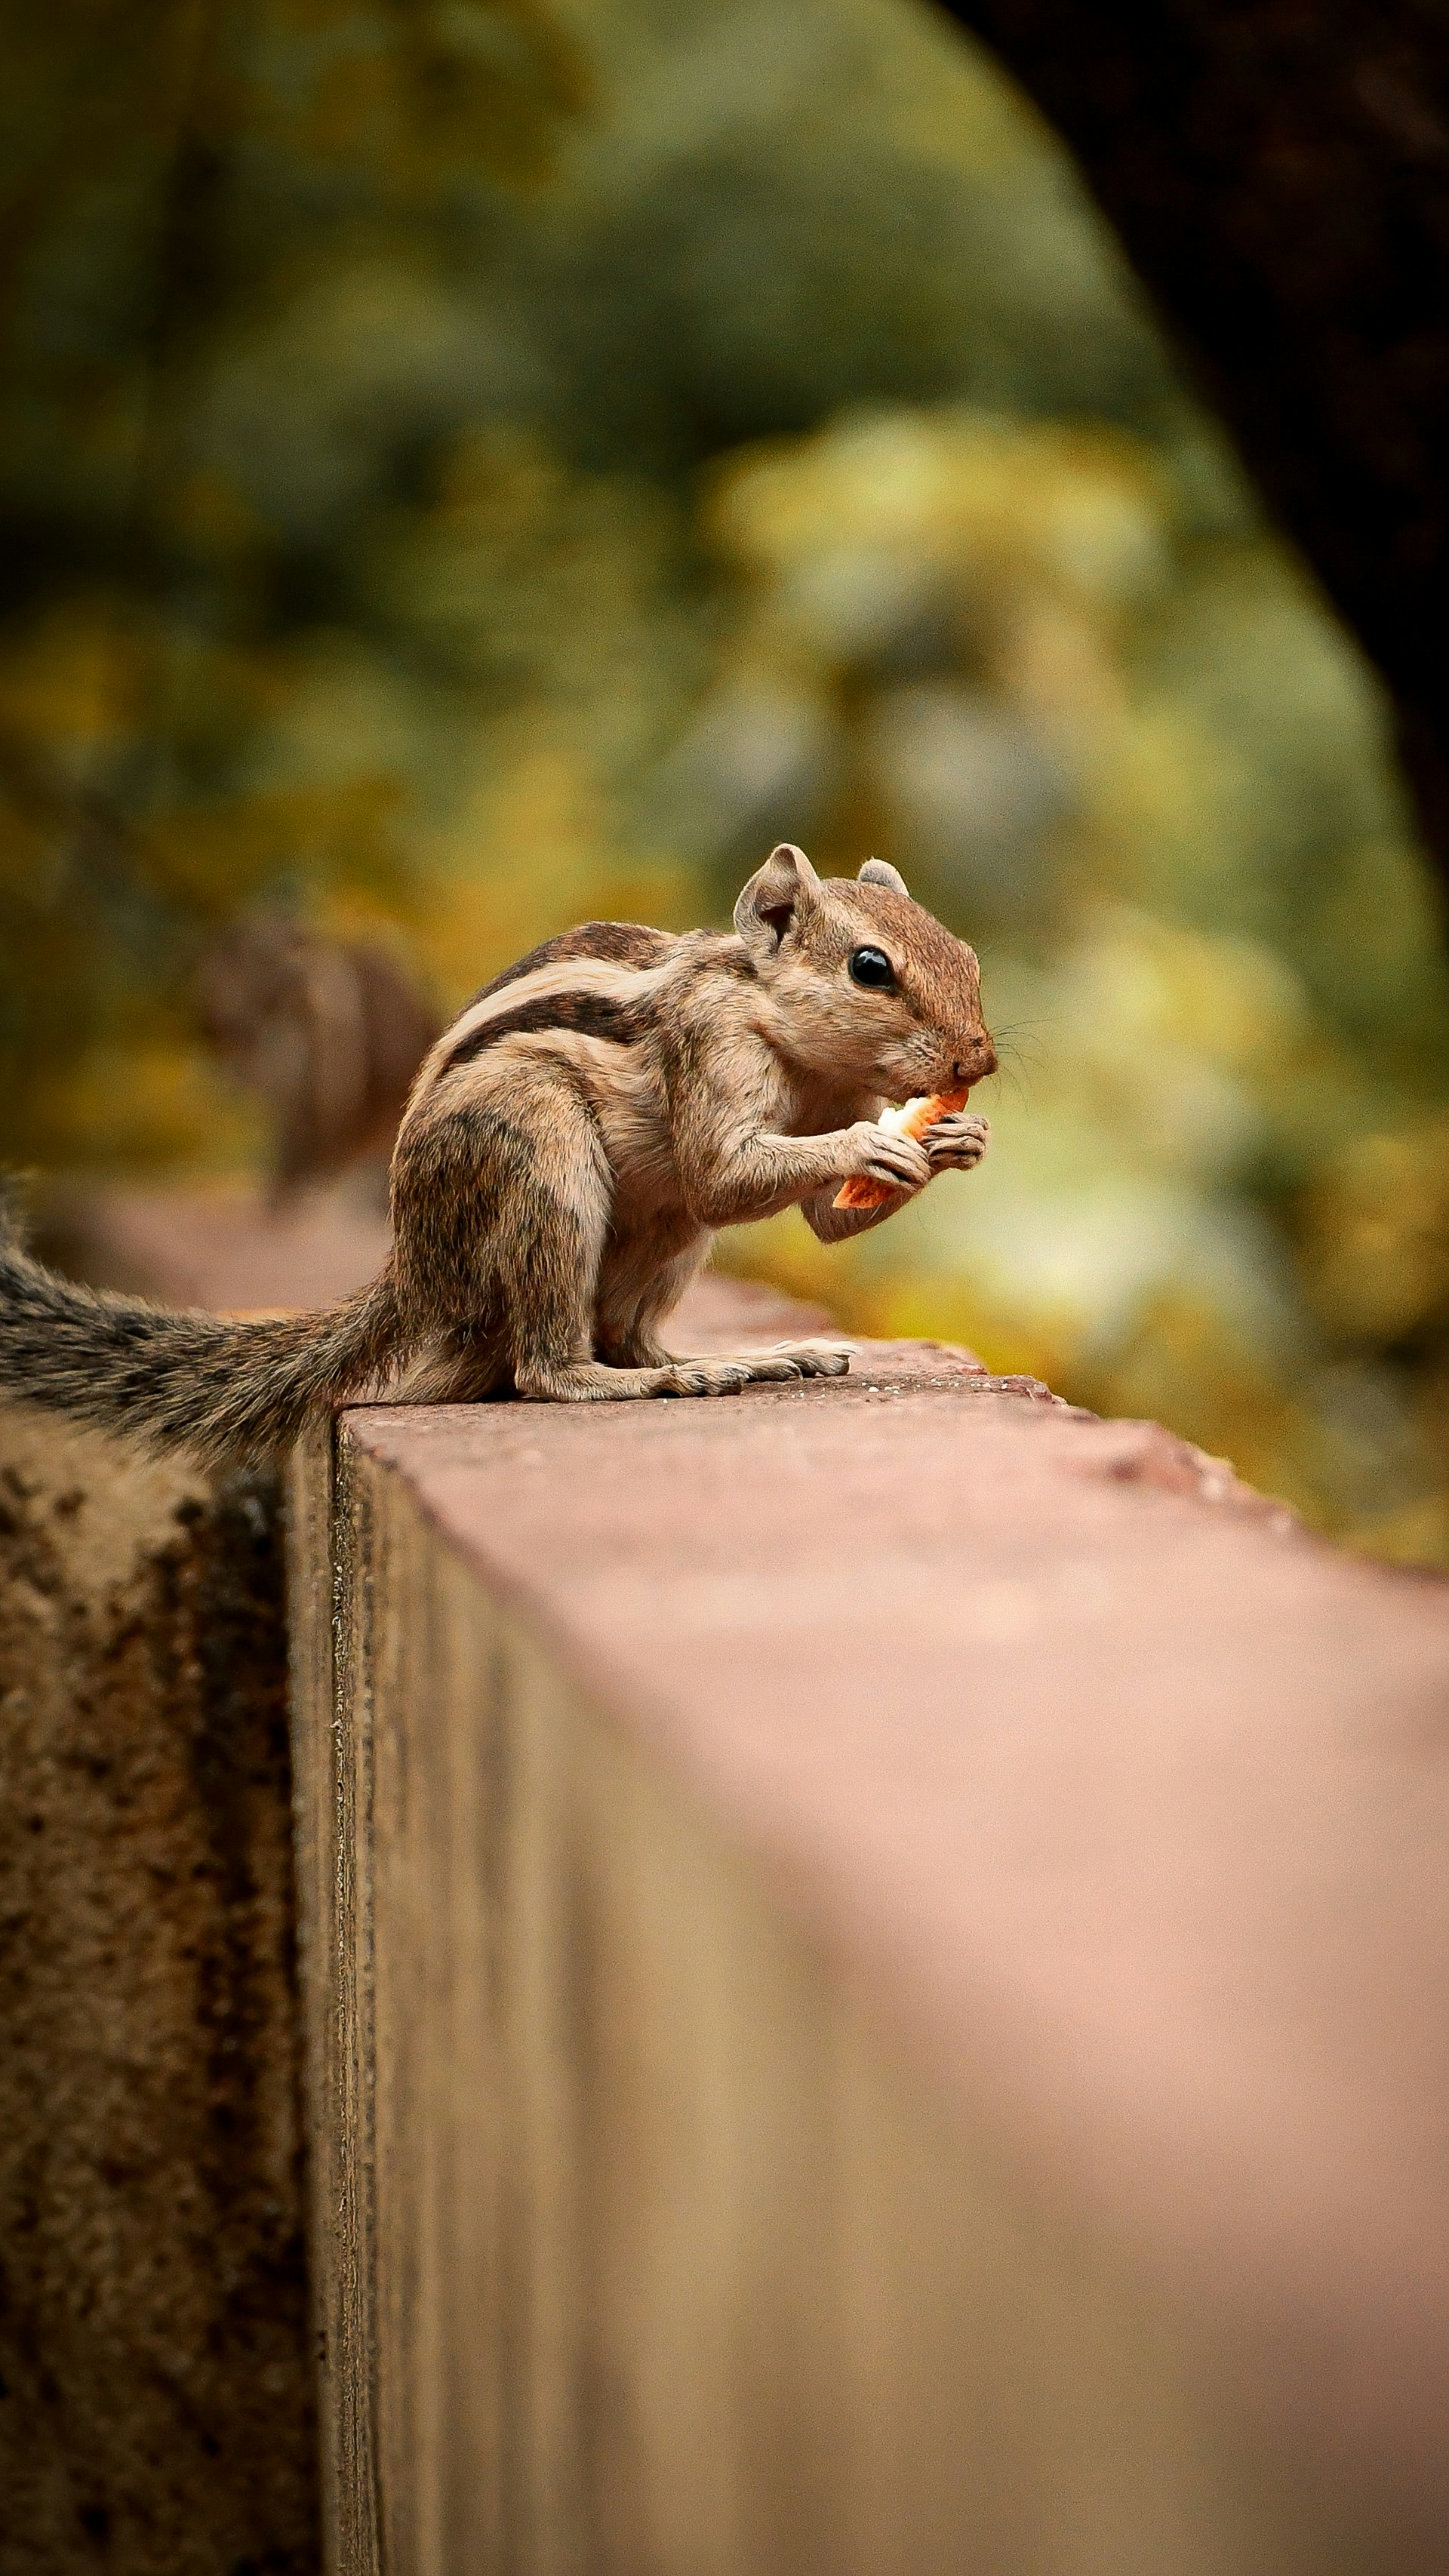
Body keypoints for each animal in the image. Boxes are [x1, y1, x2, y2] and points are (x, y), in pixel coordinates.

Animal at [0, 846, 995, 1462]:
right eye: (871, 967)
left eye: (968, 954)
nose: (978, 1062)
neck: (795, 1047)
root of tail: (413, 1277)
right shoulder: (709, 1047)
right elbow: (721, 1172)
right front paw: (875, 1142)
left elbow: (828, 1221)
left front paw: (955, 1138)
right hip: (541, 1158)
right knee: (548, 1368)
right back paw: (667, 1378)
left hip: (661, 1241)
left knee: (623, 1334)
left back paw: (750, 1360)